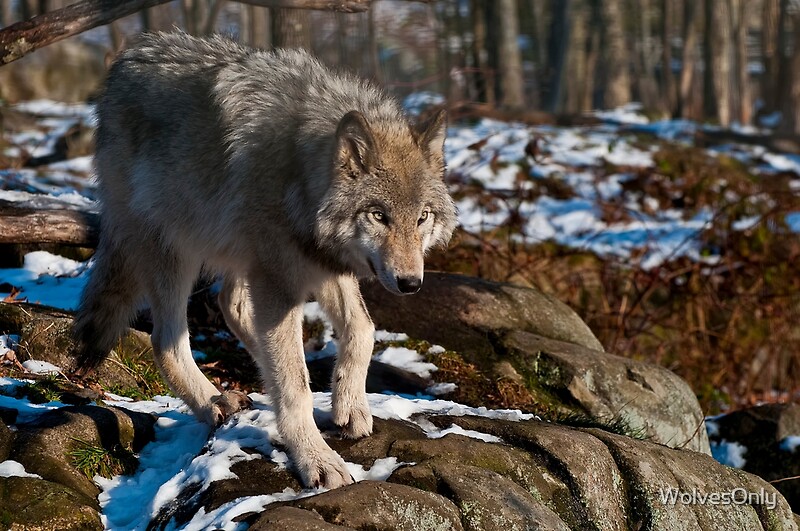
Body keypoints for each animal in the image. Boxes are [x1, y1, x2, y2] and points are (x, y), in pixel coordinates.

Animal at [72, 32, 457, 489]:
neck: (298, 173)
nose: (411, 283)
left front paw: (349, 404)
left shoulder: (321, 263)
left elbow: (362, 330)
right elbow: (295, 386)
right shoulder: (281, 279)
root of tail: (125, 61)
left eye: (422, 217)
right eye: (379, 215)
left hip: (239, 255)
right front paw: (315, 458)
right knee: (167, 342)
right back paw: (214, 402)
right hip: (176, 250)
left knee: (233, 306)